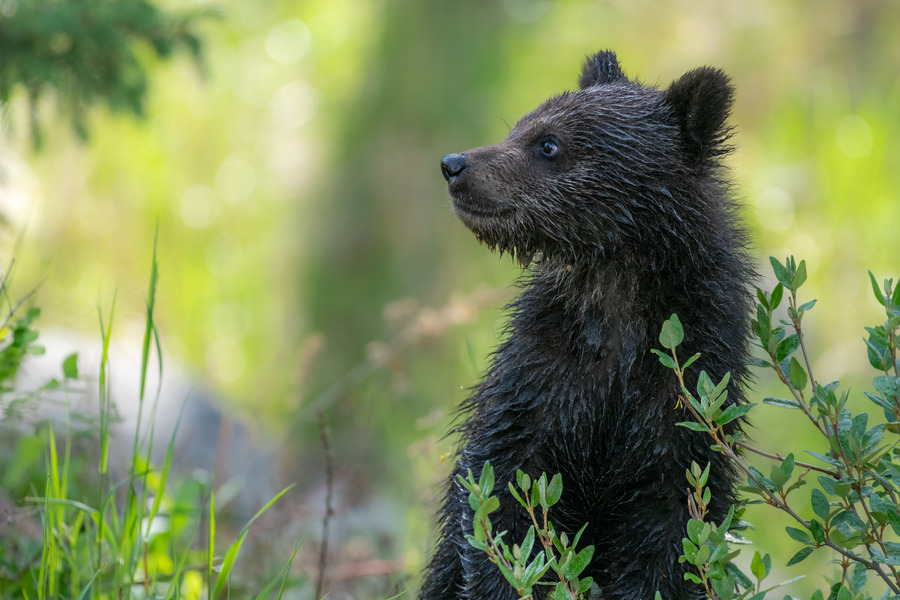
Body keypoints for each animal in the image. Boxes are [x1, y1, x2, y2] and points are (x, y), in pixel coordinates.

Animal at [420, 50, 754, 600]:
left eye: (548, 143)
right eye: (520, 126)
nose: (454, 165)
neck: (617, 290)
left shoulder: (684, 388)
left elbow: (671, 533)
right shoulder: (543, 376)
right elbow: (504, 500)